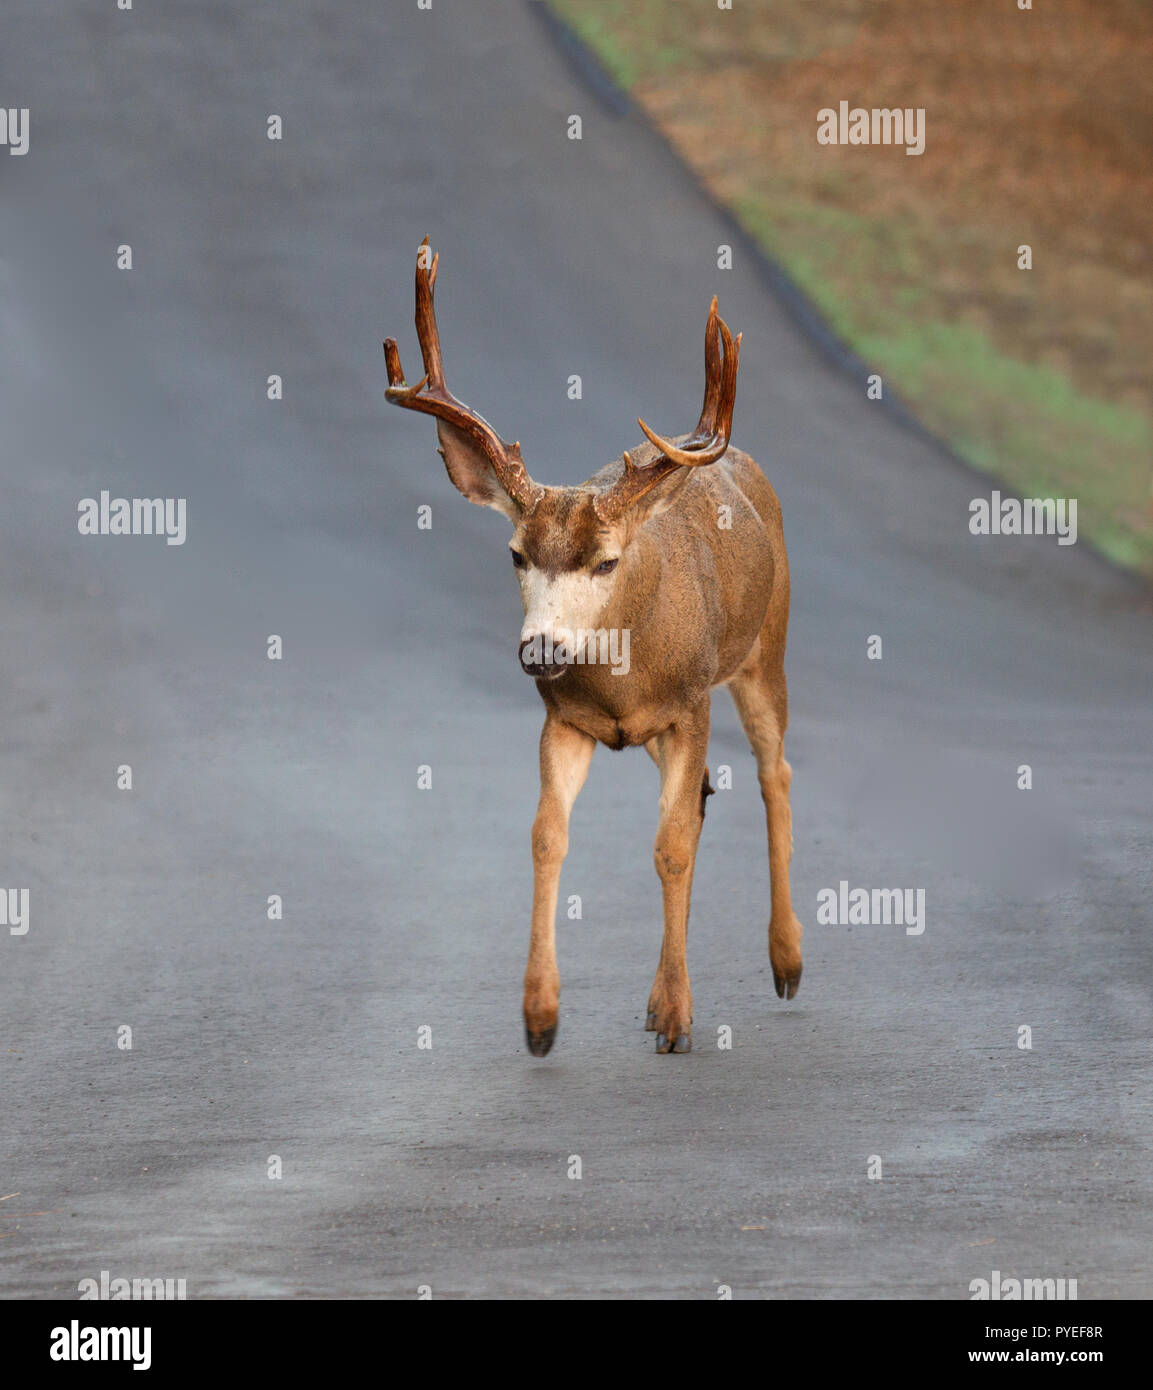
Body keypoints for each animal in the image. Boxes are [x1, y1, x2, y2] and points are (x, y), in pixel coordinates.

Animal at [383, 239, 803, 1056]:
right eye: (516, 554)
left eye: (606, 561)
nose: (541, 650)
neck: (624, 683)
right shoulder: (563, 720)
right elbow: (547, 837)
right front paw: (541, 1018)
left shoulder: (689, 705)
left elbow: (669, 846)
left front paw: (676, 1018)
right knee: (704, 803)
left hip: (763, 649)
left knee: (774, 774)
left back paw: (786, 962)